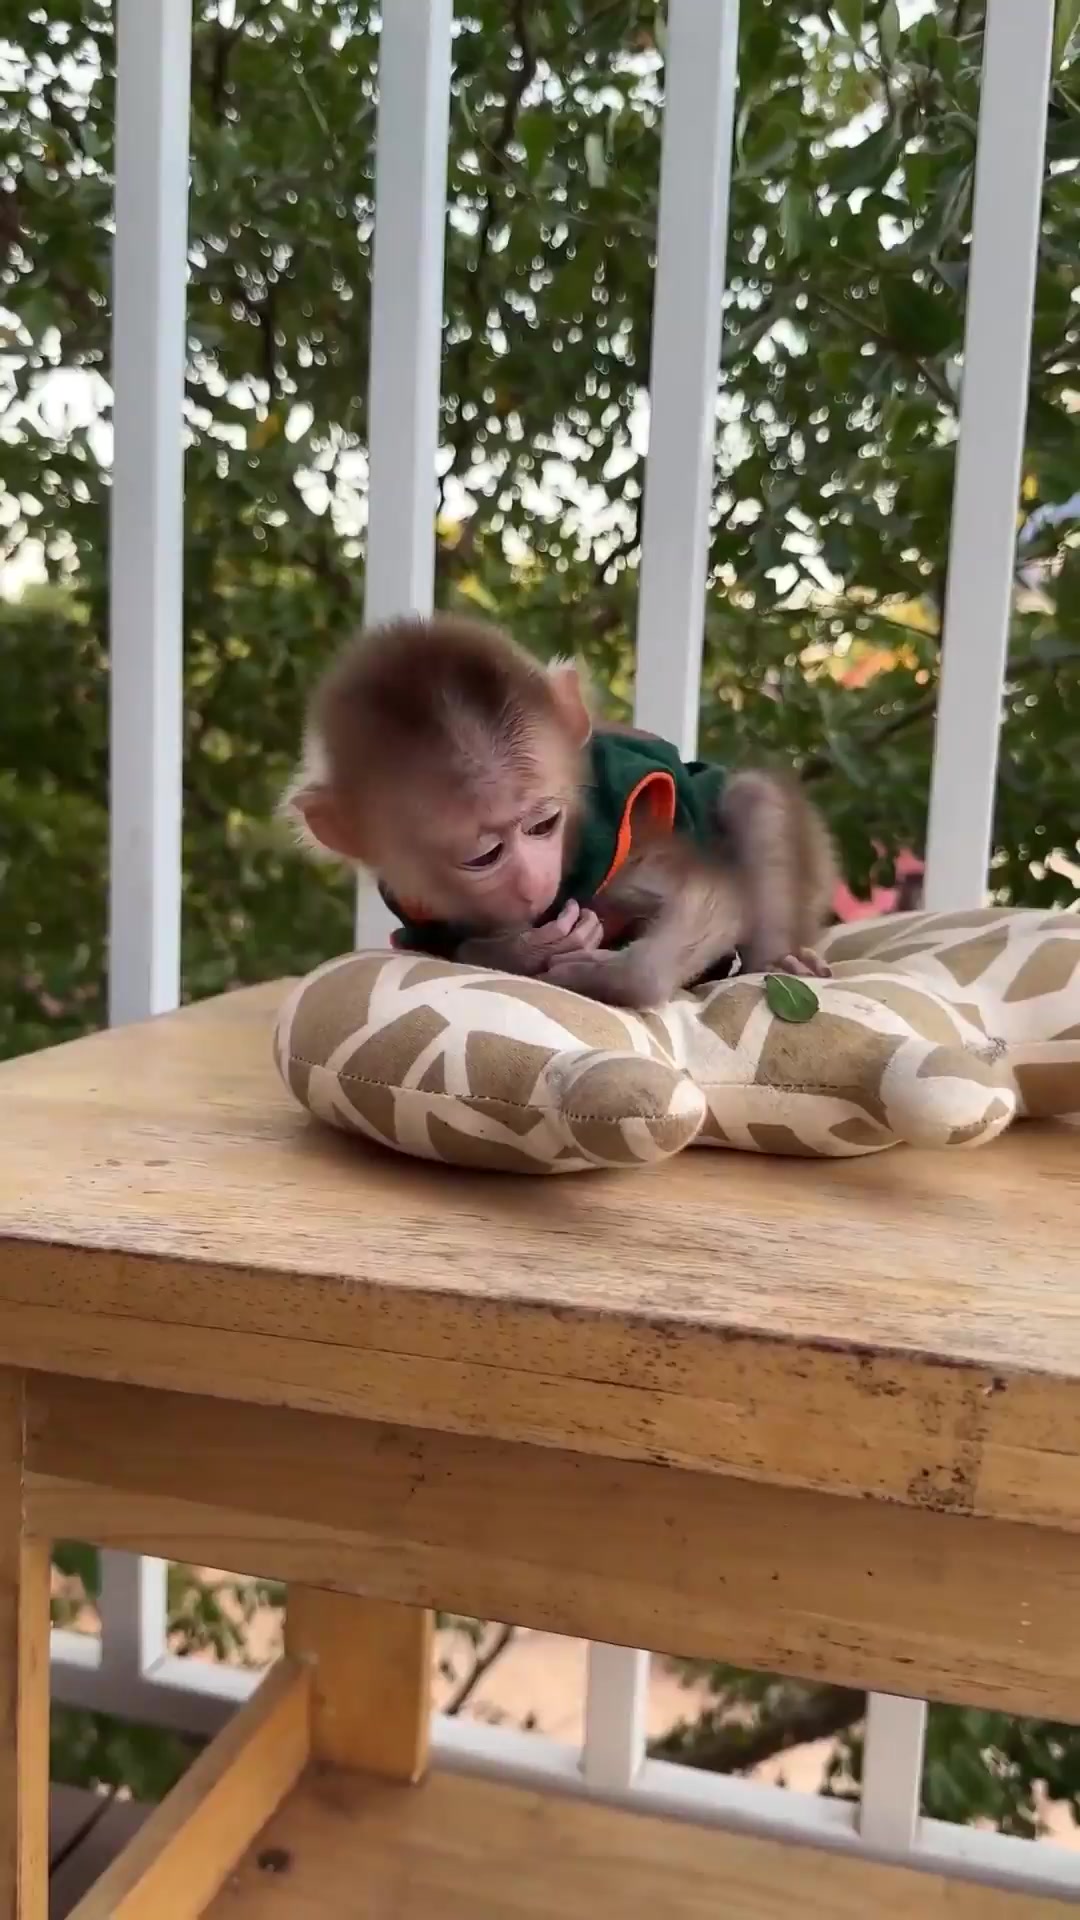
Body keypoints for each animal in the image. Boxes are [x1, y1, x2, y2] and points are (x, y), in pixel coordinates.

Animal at [283, 613, 837, 1009]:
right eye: (482, 857)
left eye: (543, 825)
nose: (532, 884)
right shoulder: (415, 902)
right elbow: (436, 947)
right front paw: (522, 951)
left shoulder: (616, 826)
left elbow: (712, 895)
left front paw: (610, 975)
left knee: (752, 799)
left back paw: (780, 960)